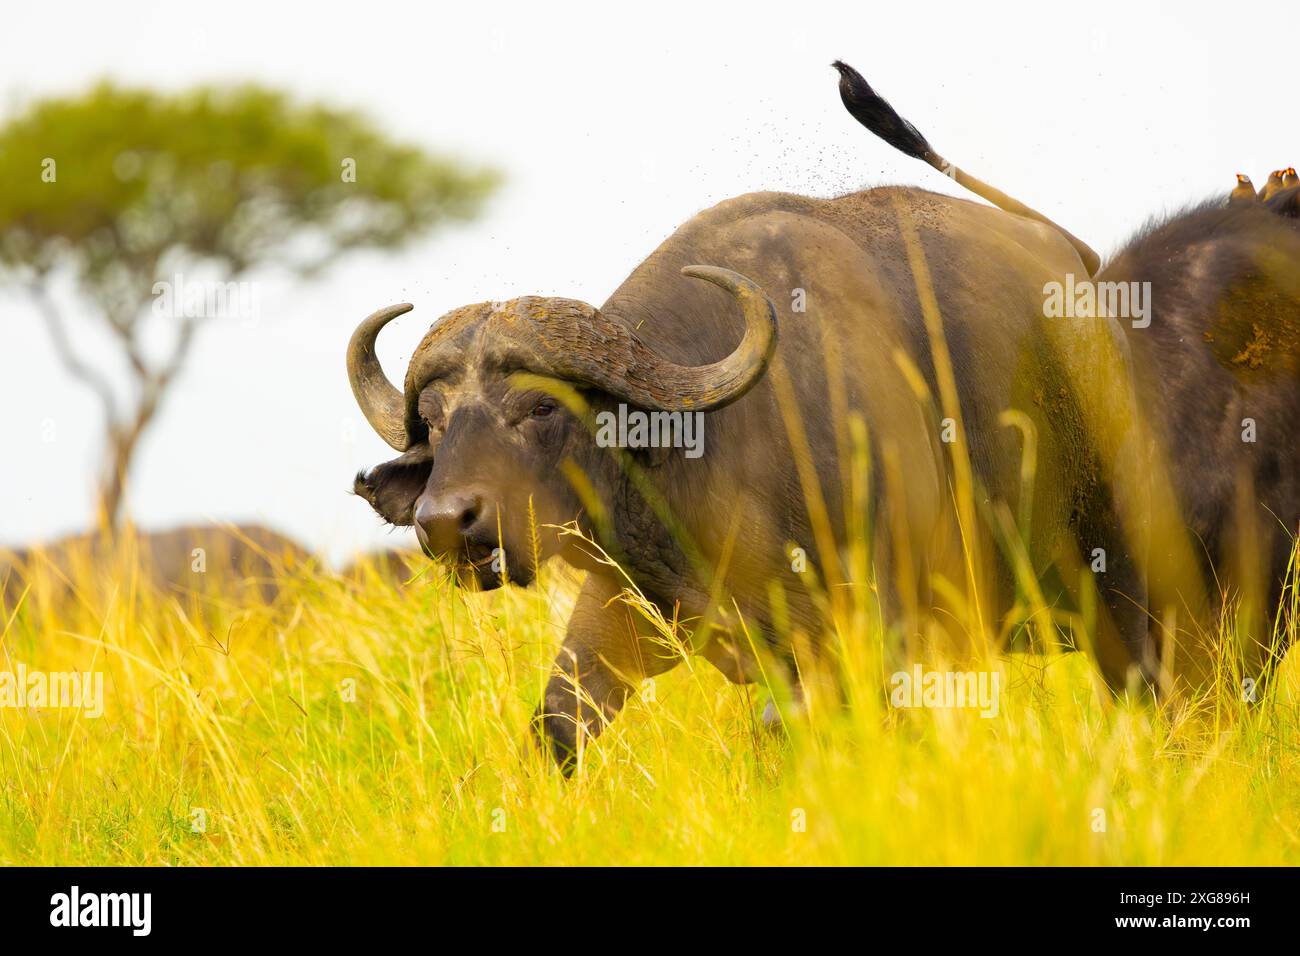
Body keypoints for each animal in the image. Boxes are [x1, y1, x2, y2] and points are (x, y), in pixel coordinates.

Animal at [347, 63, 1159, 771]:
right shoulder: (628, 607)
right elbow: (558, 722)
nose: (446, 522)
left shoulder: (882, 622)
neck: (715, 451)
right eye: (436, 421)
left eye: (542, 405)